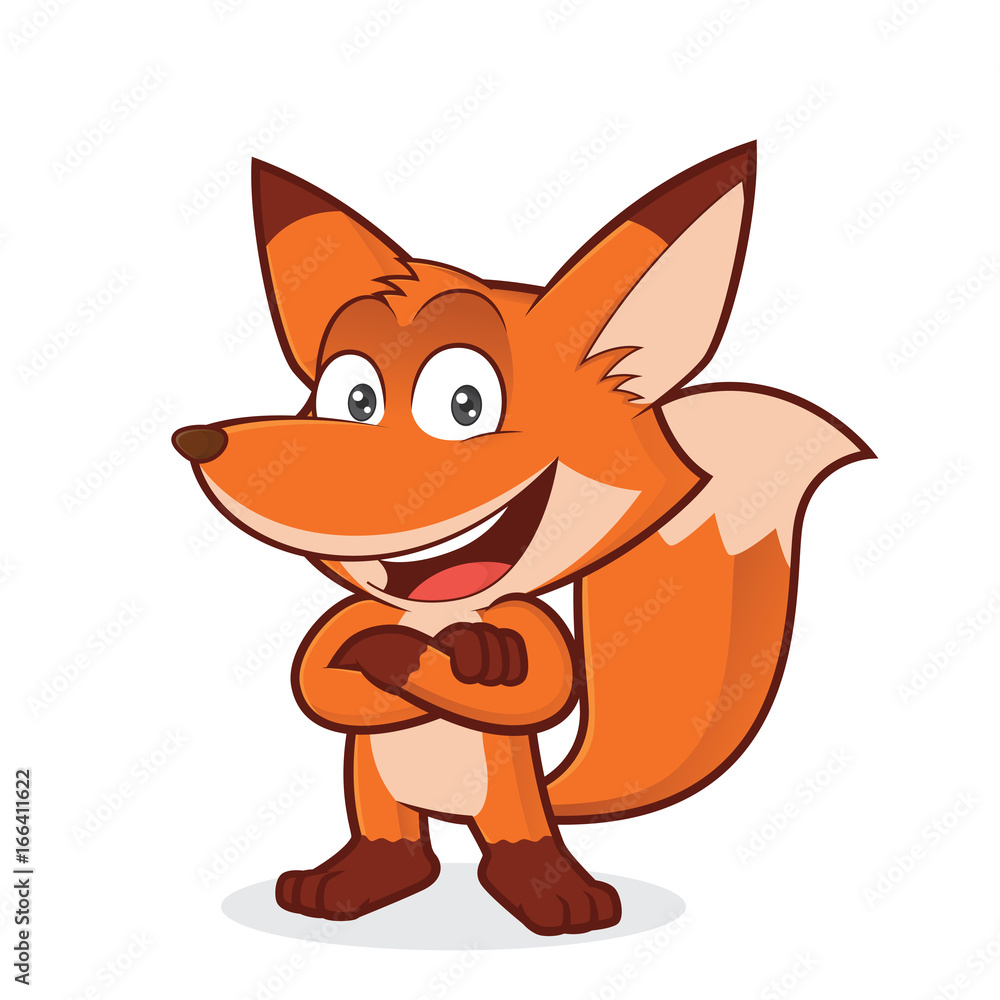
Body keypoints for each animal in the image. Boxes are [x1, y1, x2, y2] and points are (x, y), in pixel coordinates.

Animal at [173, 142, 871, 936]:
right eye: (355, 400)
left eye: (465, 404)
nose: (199, 440)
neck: (436, 608)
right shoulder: (348, 622)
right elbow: (324, 682)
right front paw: (391, 657)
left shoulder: (528, 630)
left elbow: (534, 687)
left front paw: (471, 656)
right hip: (379, 793)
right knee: (399, 844)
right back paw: (359, 875)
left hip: (509, 801)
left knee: (512, 843)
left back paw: (548, 887)